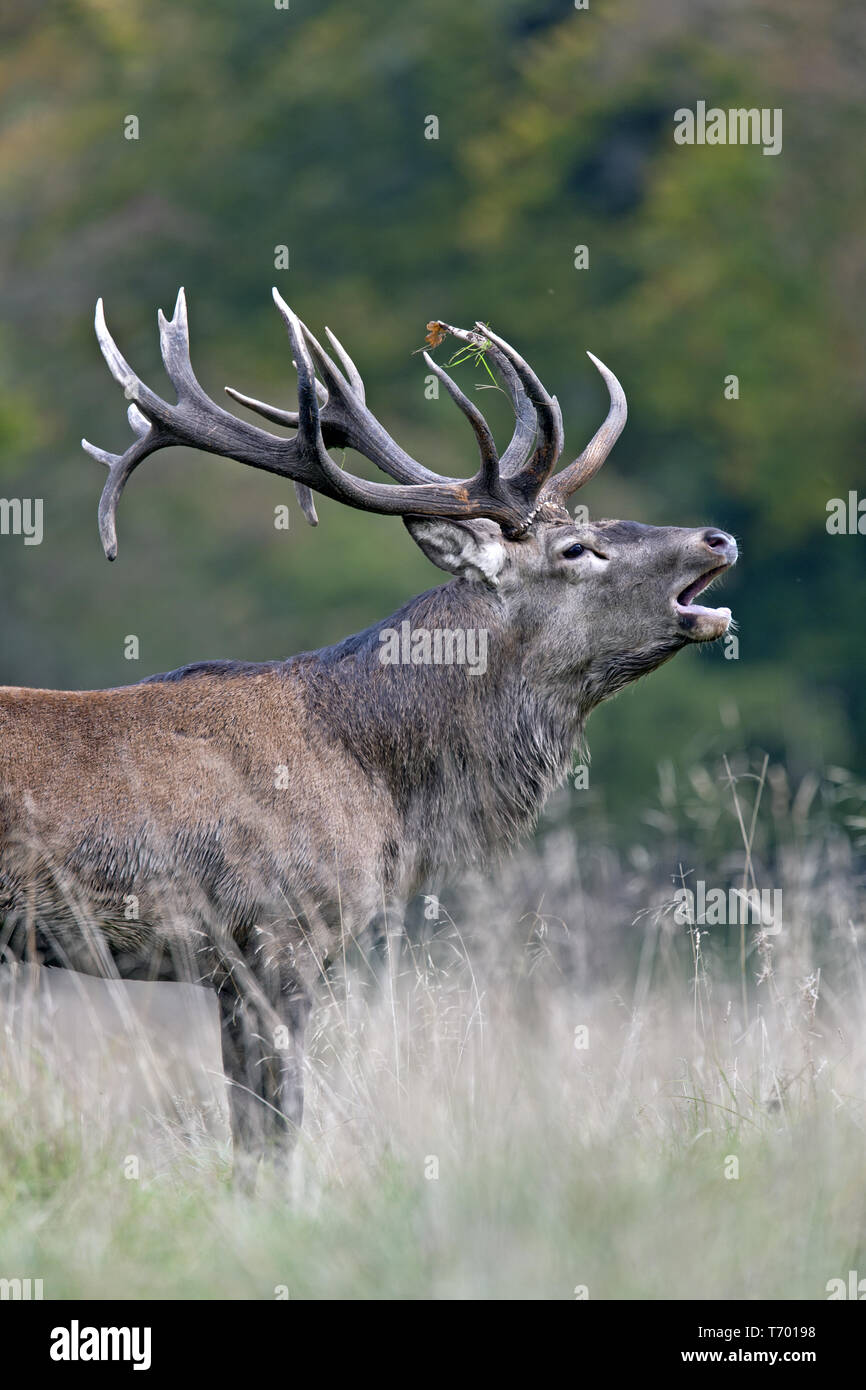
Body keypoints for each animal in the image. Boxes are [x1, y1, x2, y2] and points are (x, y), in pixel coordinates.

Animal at [0, 287, 737, 1171]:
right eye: (576, 547)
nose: (717, 535)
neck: (380, 779)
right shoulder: (275, 933)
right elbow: (275, 1128)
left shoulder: (228, 968)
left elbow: (249, 1127)